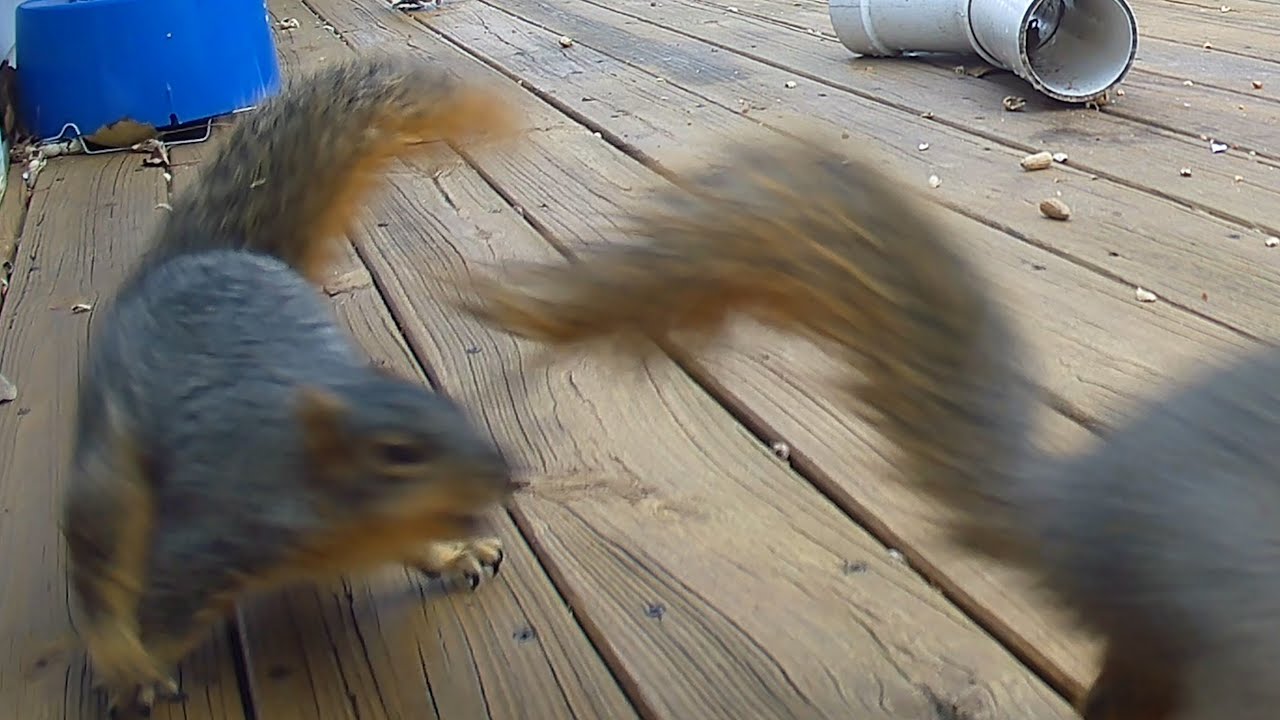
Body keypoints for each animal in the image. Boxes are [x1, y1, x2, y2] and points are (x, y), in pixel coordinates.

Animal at [59, 55, 522, 719]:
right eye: (396, 454)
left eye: (456, 411)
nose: (505, 477)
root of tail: (196, 259)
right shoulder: (209, 543)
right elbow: (160, 613)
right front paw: (132, 671)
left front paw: (454, 553)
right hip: (110, 470)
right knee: (98, 566)